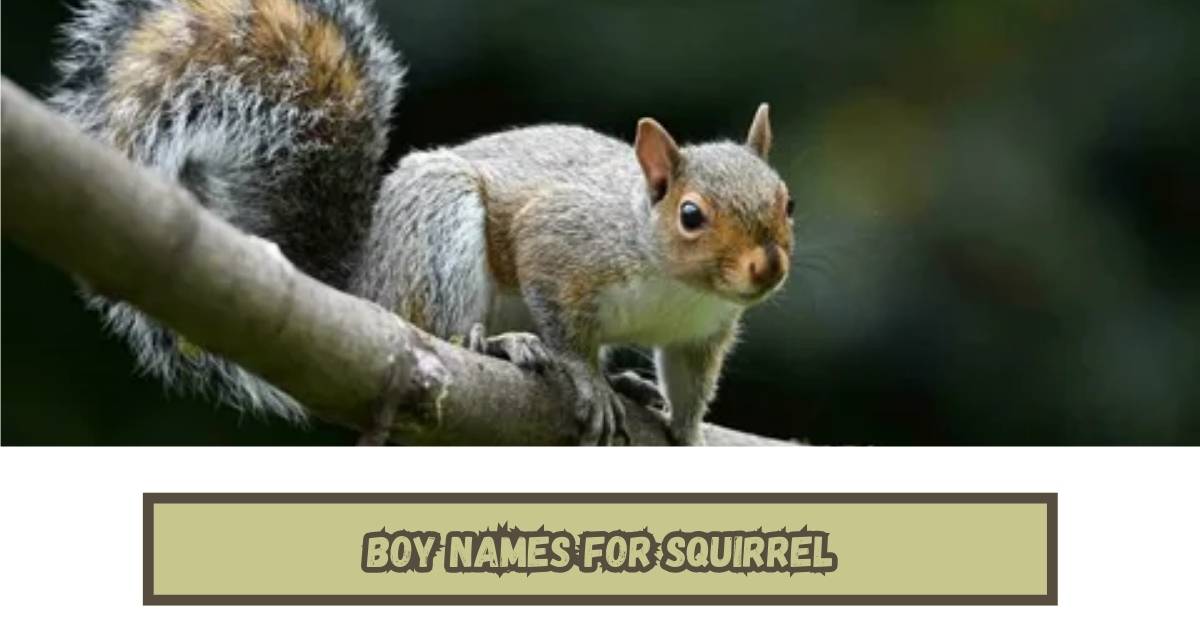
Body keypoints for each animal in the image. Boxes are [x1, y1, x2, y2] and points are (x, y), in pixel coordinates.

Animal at [51, 0, 793, 445]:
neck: (676, 283)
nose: (768, 267)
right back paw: (505, 346)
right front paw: (586, 381)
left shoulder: (703, 333)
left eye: (787, 202)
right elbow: (564, 326)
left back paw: (626, 380)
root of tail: (364, 287)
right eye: (691, 215)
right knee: (443, 330)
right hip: (439, 231)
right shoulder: (564, 244)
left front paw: (686, 427)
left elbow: (692, 381)